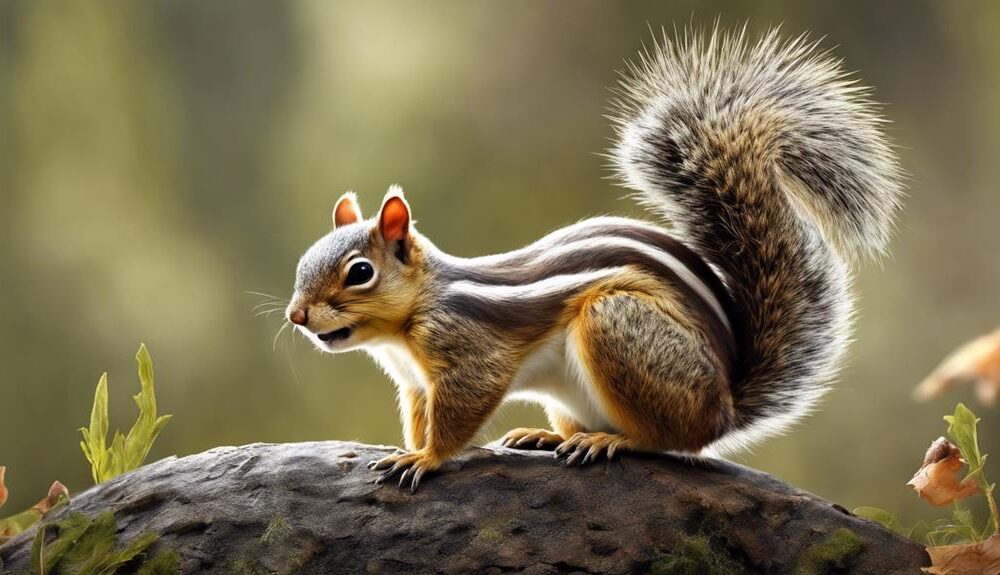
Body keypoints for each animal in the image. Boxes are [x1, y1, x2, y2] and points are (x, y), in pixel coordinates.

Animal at [285, 27, 903, 492]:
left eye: (360, 272)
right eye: (303, 263)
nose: (296, 315)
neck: (409, 320)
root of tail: (726, 406)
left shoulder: (467, 354)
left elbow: (460, 413)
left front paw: (426, 459)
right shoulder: (415, 385)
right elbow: (419, 418)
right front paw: (406, 448)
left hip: (616, 326)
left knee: (667, 443)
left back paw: (610, 440)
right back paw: (549, 437)